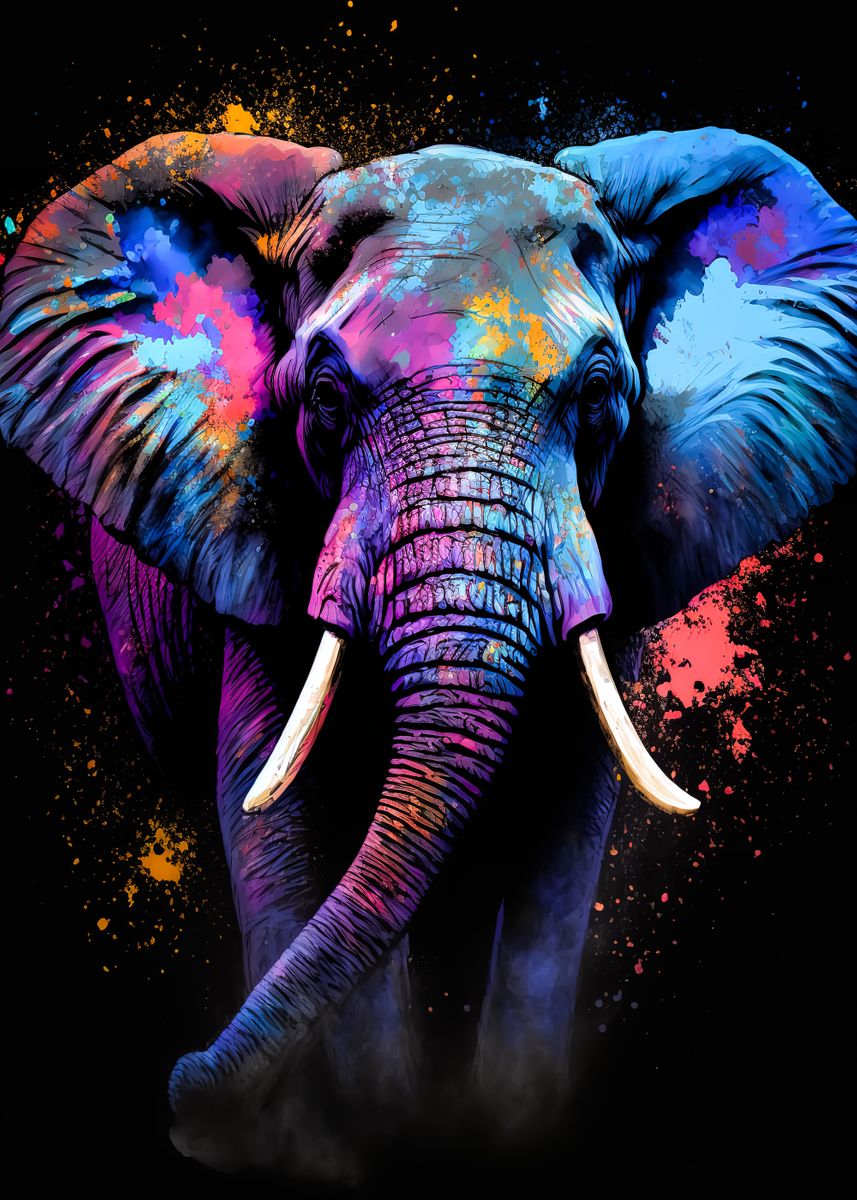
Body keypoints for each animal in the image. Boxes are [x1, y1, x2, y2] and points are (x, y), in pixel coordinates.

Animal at [1, 125, 855, 1178]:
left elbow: (557, 845)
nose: (187, 1093)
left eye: (599, 394)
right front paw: (360, 1130)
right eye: (326, 396)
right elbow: (292, 824)